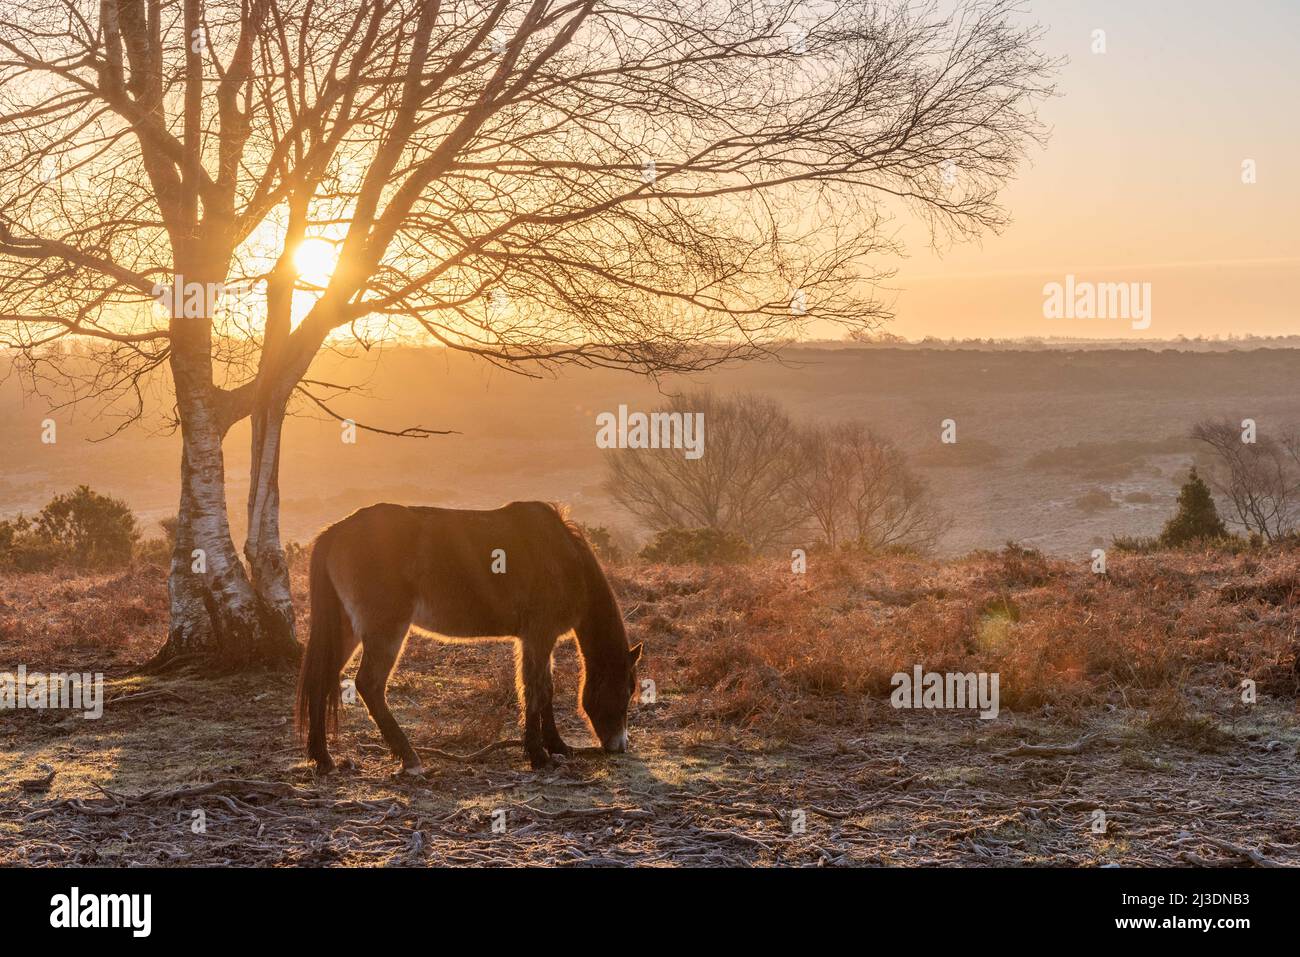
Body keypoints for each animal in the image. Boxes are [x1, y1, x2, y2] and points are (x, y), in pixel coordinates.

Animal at [296, 501, 641, 774]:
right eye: (626, 691)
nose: (619, 746)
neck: (564, 557)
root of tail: (337, 531)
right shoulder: (538, 636)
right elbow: (536, 690)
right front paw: (538, 755)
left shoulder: (538, 639)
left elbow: (546, 689)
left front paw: (557, 746)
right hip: (385, 630)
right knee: (369, 686)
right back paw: (409, 758)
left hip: (348, 629)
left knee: (323, 678)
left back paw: (323, 759)